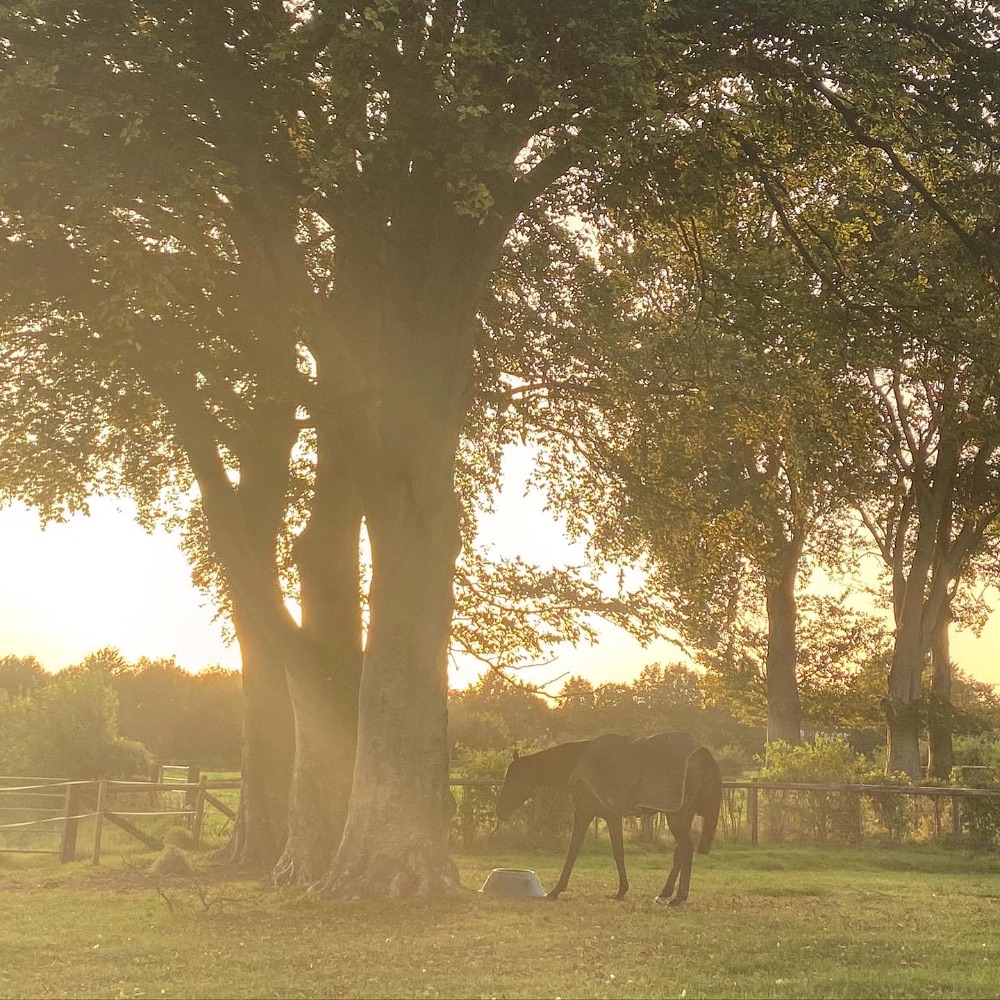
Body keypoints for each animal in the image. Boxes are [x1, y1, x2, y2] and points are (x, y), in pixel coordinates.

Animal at [495, 732, 722, 906]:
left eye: (514, 778)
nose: (500, 811)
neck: (579, 761)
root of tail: (701, 753)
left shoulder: (601, 814)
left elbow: (611, 852)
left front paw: (620, 890)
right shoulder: (591, 813)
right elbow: (577, 849)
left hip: (676, 817)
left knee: (686, 849)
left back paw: (679, 897)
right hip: (681, 817)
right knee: (679, 852)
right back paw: (665, 893)